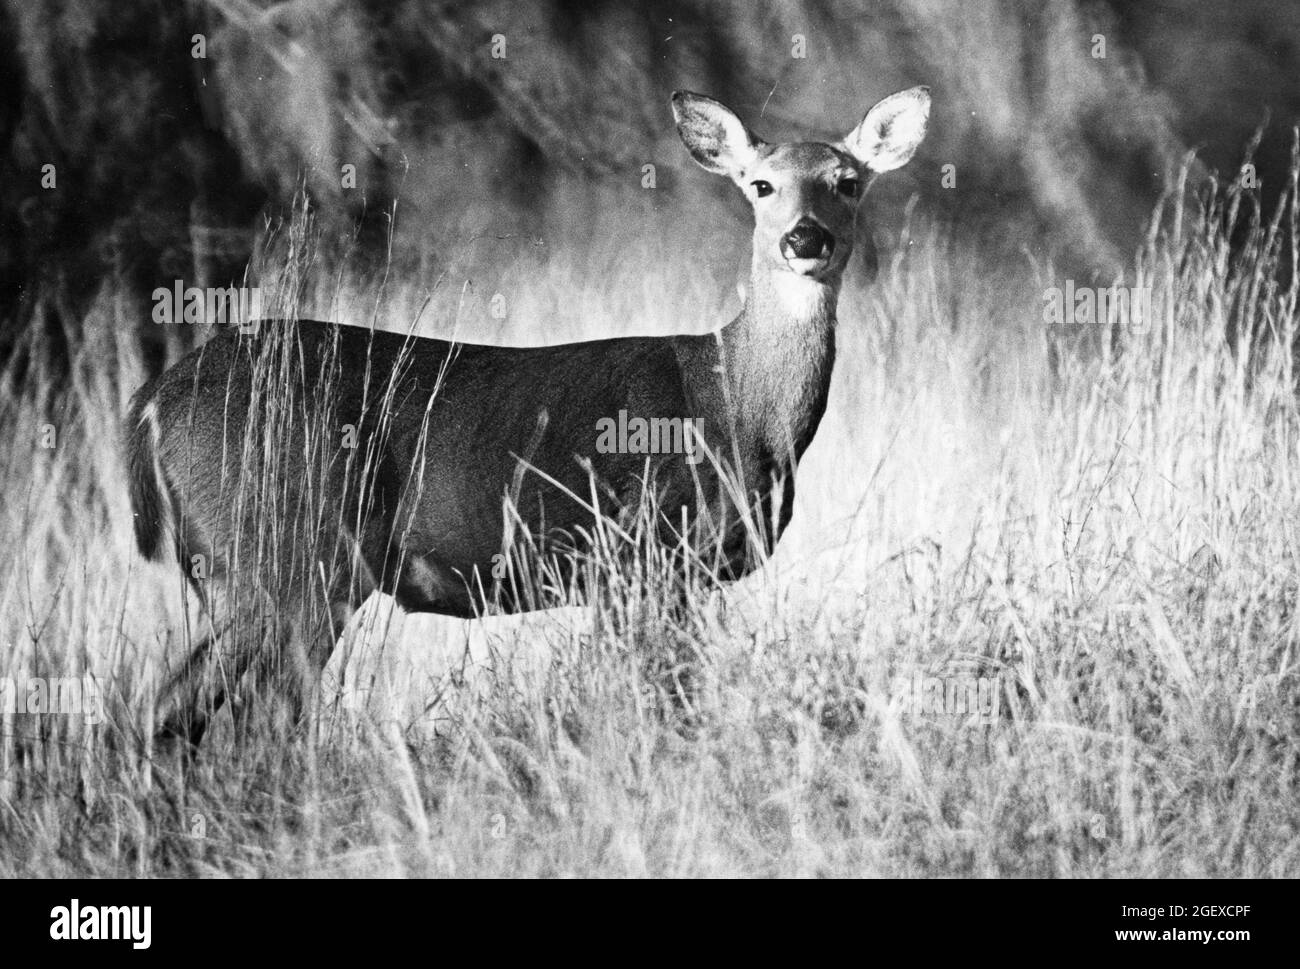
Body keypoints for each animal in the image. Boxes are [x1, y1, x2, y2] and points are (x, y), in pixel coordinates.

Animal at [125, 85, 930, 753]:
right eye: (761, 185)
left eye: (848, 182)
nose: (806, 239)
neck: (732, 399)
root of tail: (154, 399)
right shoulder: (640, 551)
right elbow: (653, 694)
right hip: (284, 556)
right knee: (210, 714)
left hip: (252, 573)